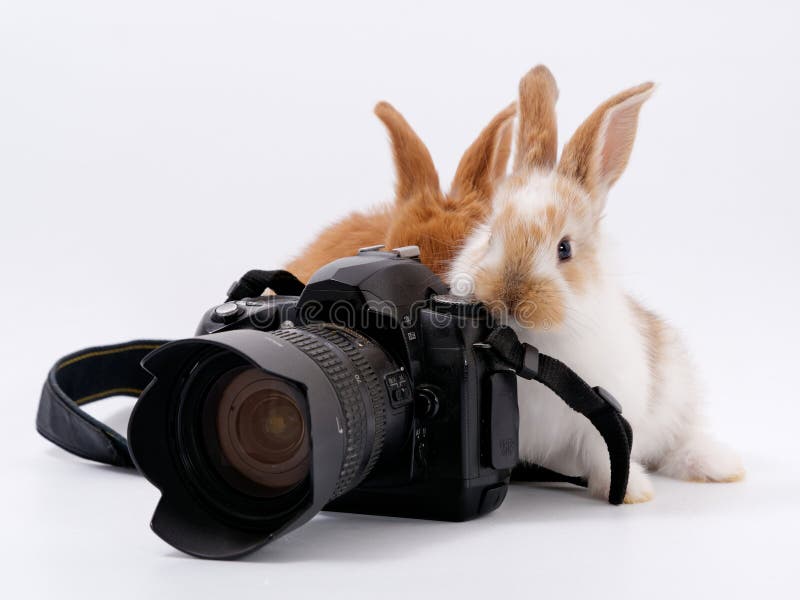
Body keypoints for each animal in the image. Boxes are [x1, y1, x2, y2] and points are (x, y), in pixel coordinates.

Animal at [448, 65, 744, 503]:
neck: (533, 347)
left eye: (565, 249)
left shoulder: (608, 410)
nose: (509, 296)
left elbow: (604, 454)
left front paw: (631, 493)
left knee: (679, 443)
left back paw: (719, 466)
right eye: (489, 236)